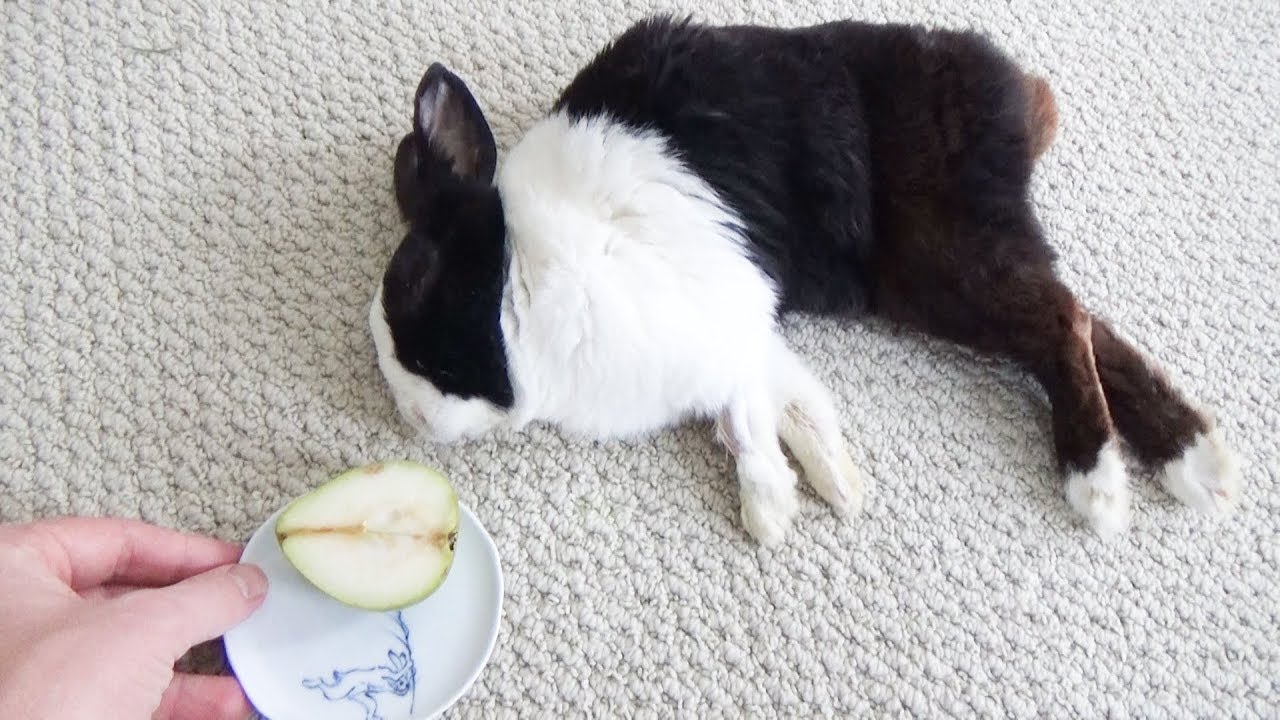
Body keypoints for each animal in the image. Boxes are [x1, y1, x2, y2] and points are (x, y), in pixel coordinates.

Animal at [370, 14, 1241, 544]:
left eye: (415, 283)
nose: (412, 421)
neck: (526, 276)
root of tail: (1019, 93)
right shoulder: (744, 333)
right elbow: (783, 401)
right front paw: (833, 485)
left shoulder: (719, 315)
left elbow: (746, 417)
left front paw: (770, 511)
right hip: (940, 274)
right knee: (1080, 322)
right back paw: (1196, 462)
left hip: (947, 257)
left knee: (1062, 324)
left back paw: (1099, 483)